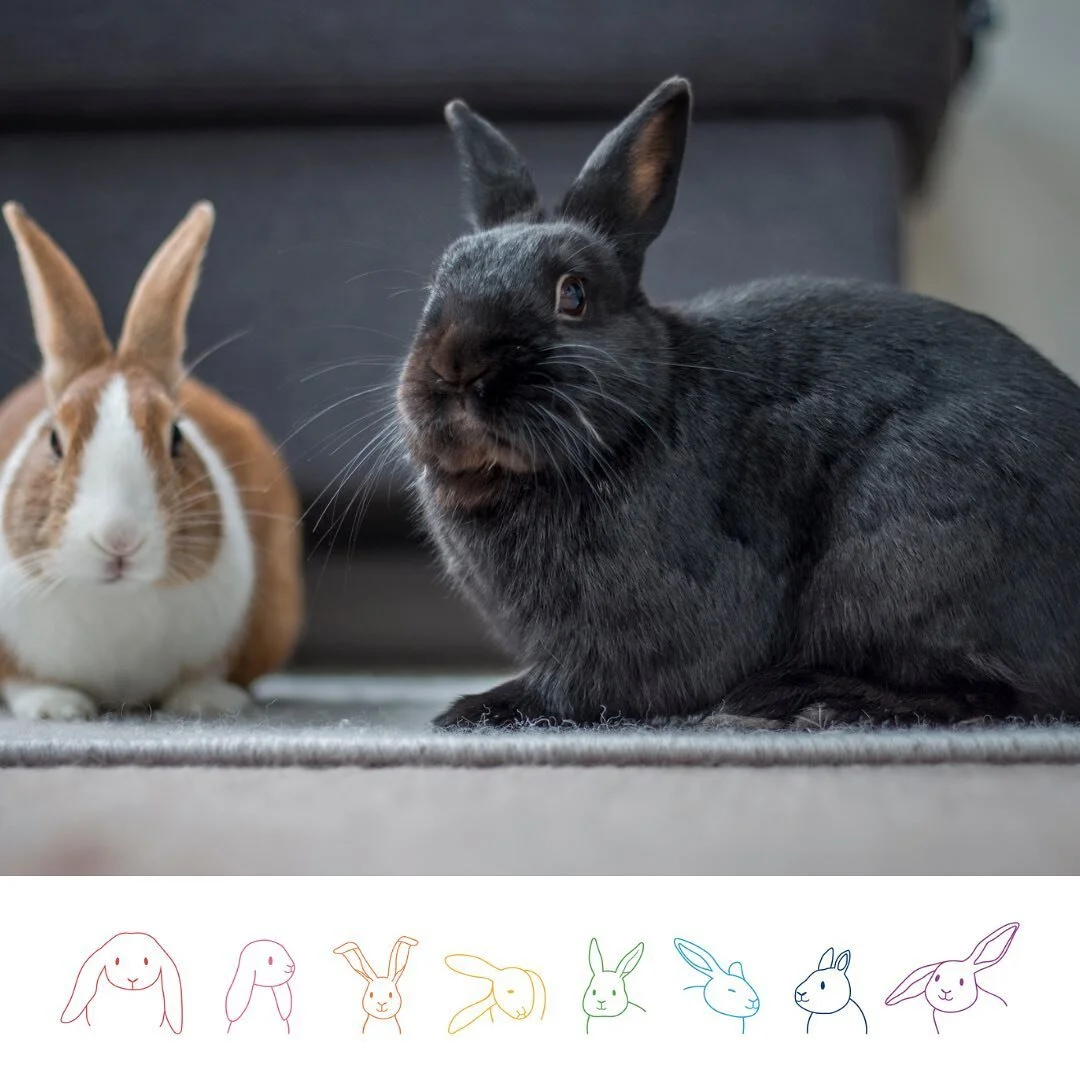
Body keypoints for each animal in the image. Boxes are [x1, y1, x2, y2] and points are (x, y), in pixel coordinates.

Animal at [0, 201, 302, 721]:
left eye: (176, 437)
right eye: (55, 440)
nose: (119, 539)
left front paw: (205, 702)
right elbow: (21, 681)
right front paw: (57, 708)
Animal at [397, 73, 1080, 731]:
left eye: (574, 294)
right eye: (438, 283)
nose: (456, 367)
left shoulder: (649, 633)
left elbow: (581, 687)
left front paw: (473, 709)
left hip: (902, 553)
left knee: (992, 692)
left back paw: (805, 701)